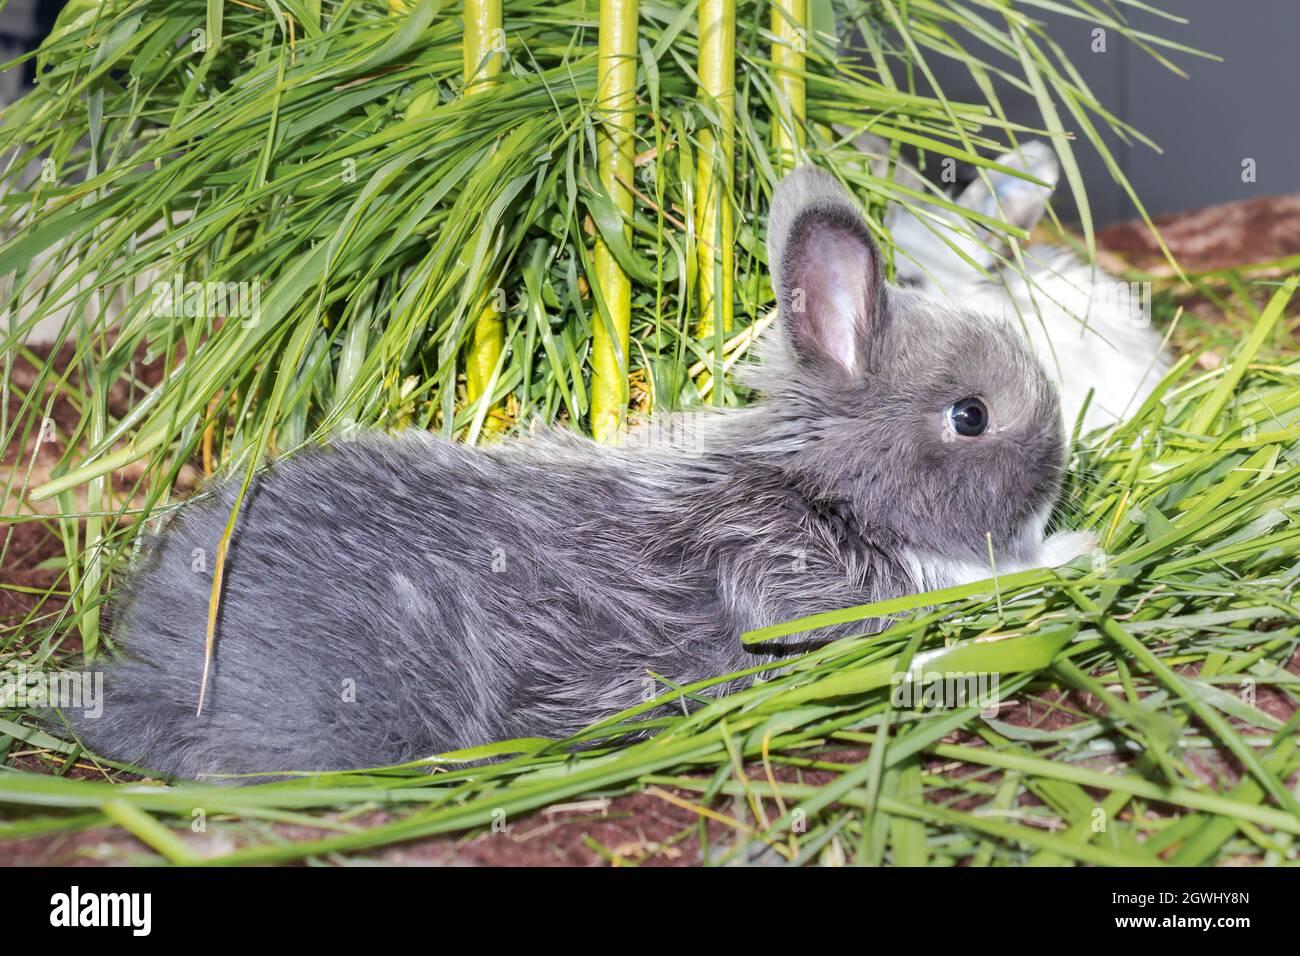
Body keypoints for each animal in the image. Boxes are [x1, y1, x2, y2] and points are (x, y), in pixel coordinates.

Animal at [64, 167, 1094, 779]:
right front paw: (1077, 551)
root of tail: (152, 662)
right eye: (970, 416)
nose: (1061, 469)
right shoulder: (802, 583)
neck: (829, 492)